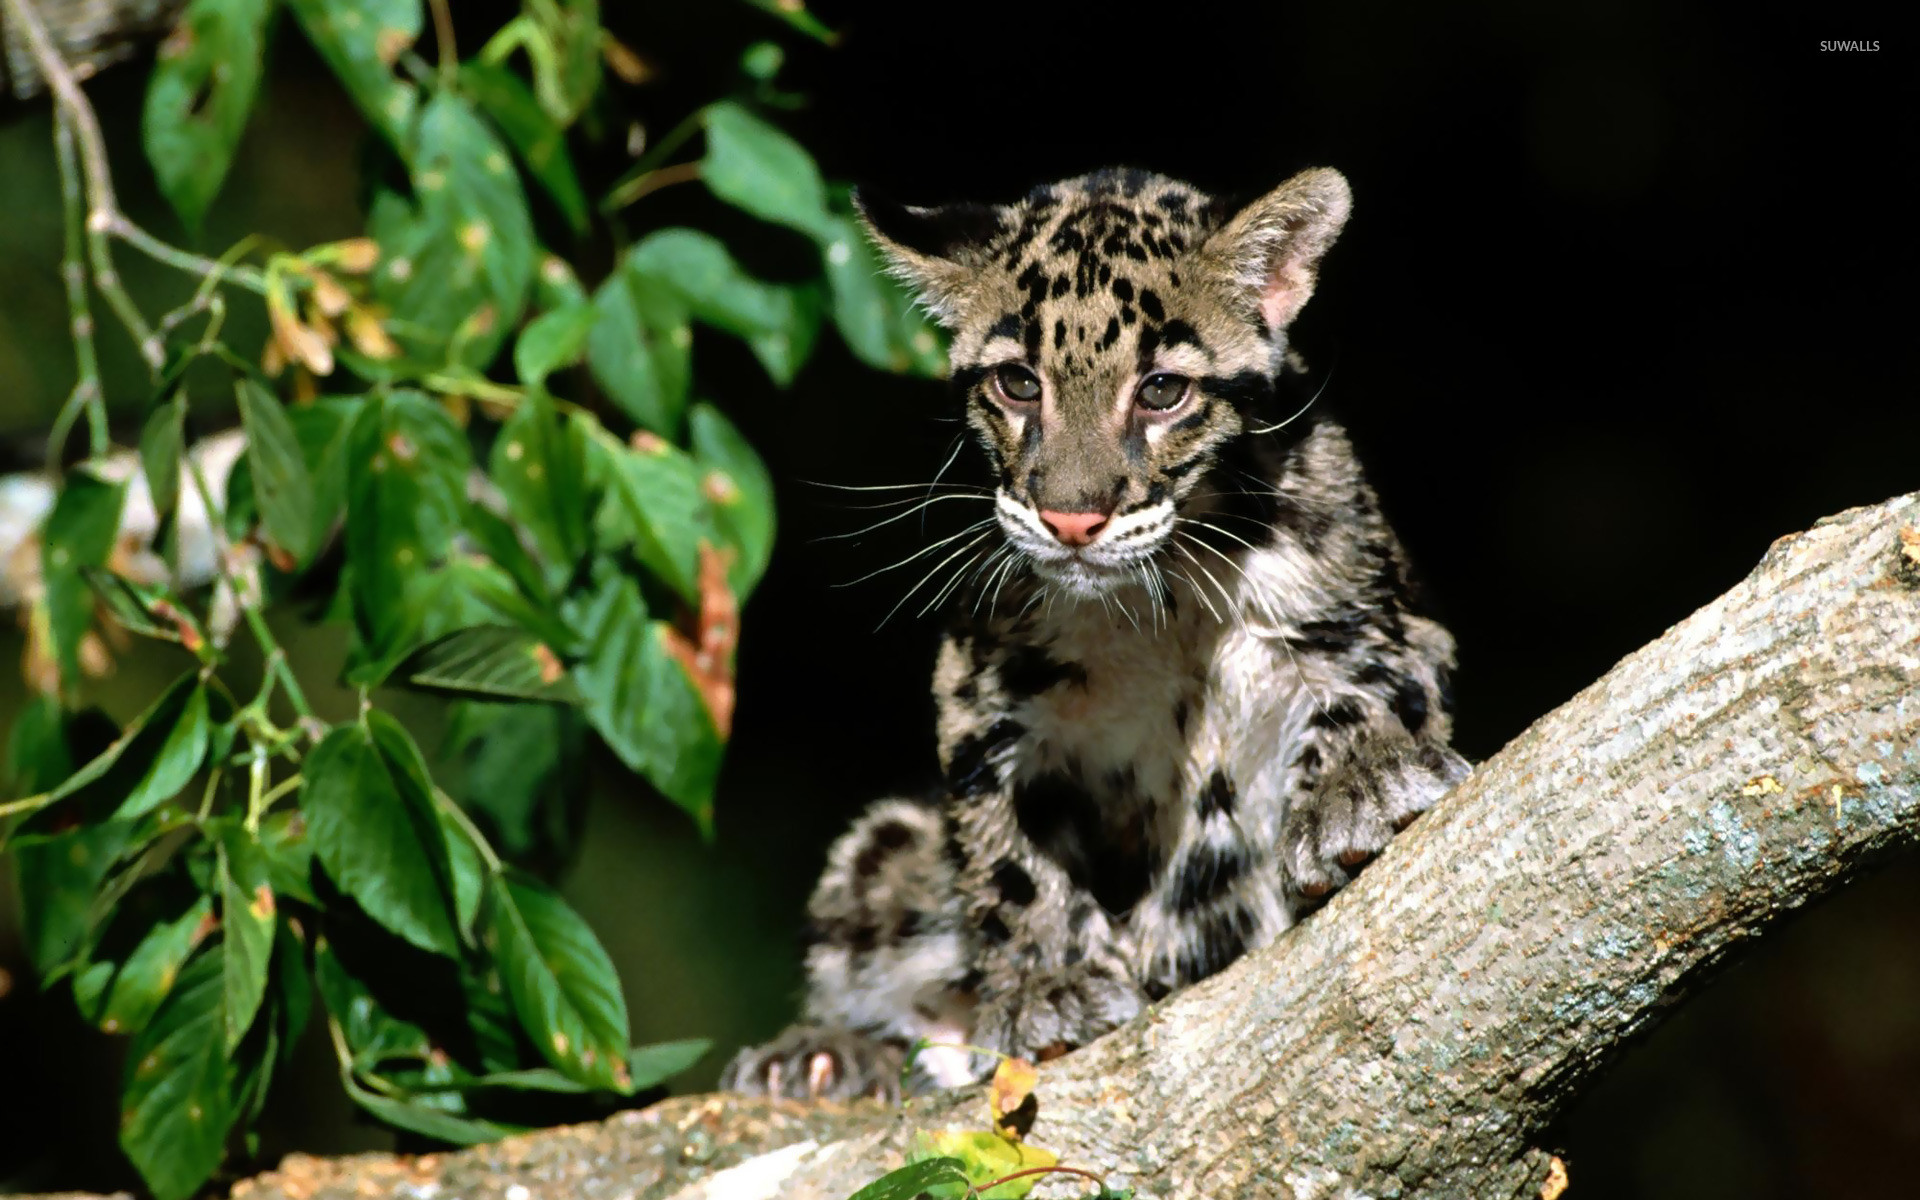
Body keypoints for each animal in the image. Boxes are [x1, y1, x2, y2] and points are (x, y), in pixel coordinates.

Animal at [722, 166, 1470, 1101]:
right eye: (1016, 384)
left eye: (1162, 391)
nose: (1070, 519)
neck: (1163, 603)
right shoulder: (982, 697)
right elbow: (1005, 852)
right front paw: (1049, 983)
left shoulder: (1382, 614)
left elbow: (1373, 687)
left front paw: (1357, 786)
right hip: (885, 849)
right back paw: (824, 1055)